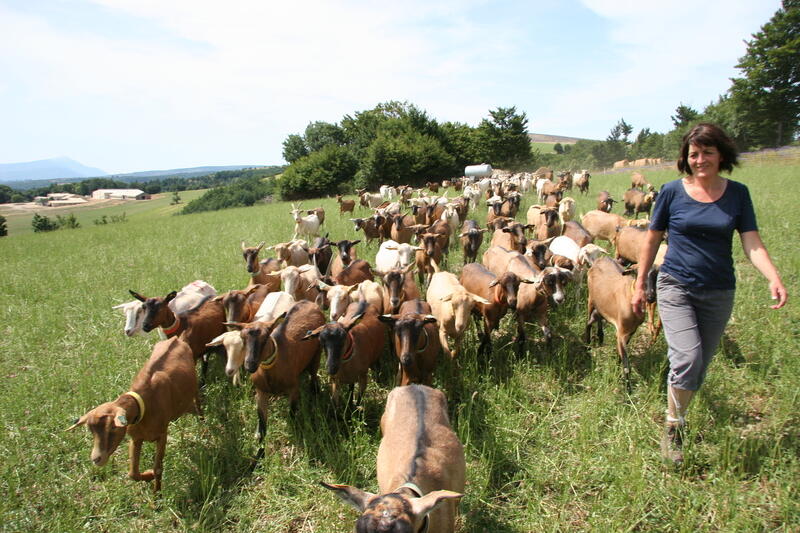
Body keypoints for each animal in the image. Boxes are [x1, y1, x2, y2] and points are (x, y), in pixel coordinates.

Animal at [67, 337, 199, 492]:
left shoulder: (162, 434)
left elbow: (158, 468)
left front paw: (157, 493)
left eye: (113, 427)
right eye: (90, 430)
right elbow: (133, 473)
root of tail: (175, 339)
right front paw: (148, 475)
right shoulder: (135, 438)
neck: (145, 404)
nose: (96, 459)